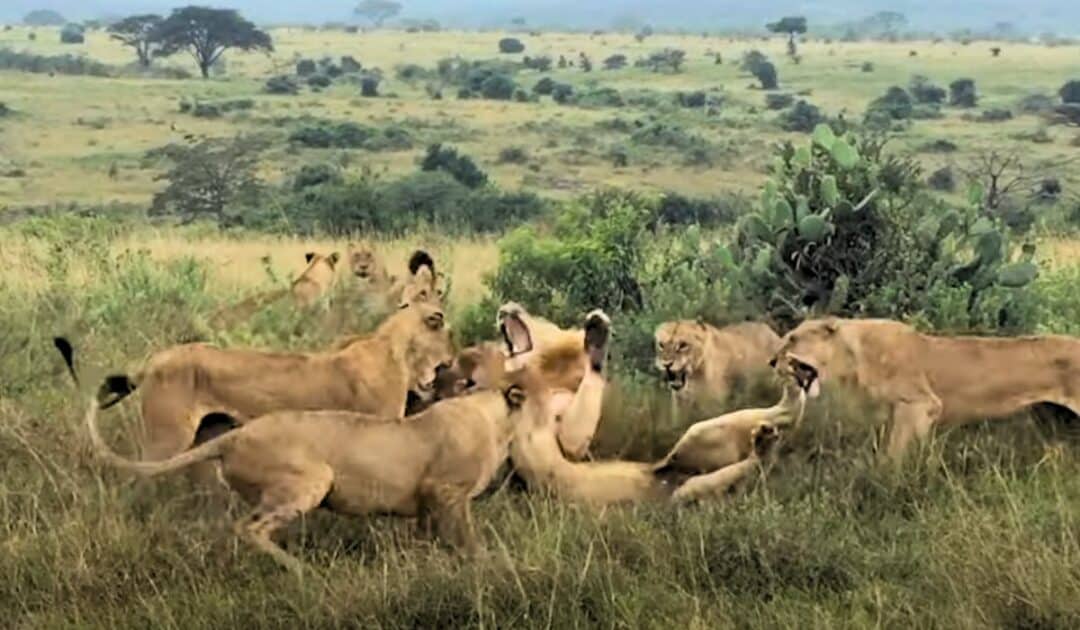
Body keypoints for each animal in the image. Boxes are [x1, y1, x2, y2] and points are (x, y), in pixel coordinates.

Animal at [56, 303, 454, 464]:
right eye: (449, 336)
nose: (453, 362)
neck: (395, 348)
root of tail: (150, 363)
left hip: (207, 434)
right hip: (166, 438)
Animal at [770, 317, 1080, 459]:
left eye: (792, 339)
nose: (772, 361)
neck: (852, 355)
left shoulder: (922, 403)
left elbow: (893, 453)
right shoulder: (895, 411)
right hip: (1052, 419)